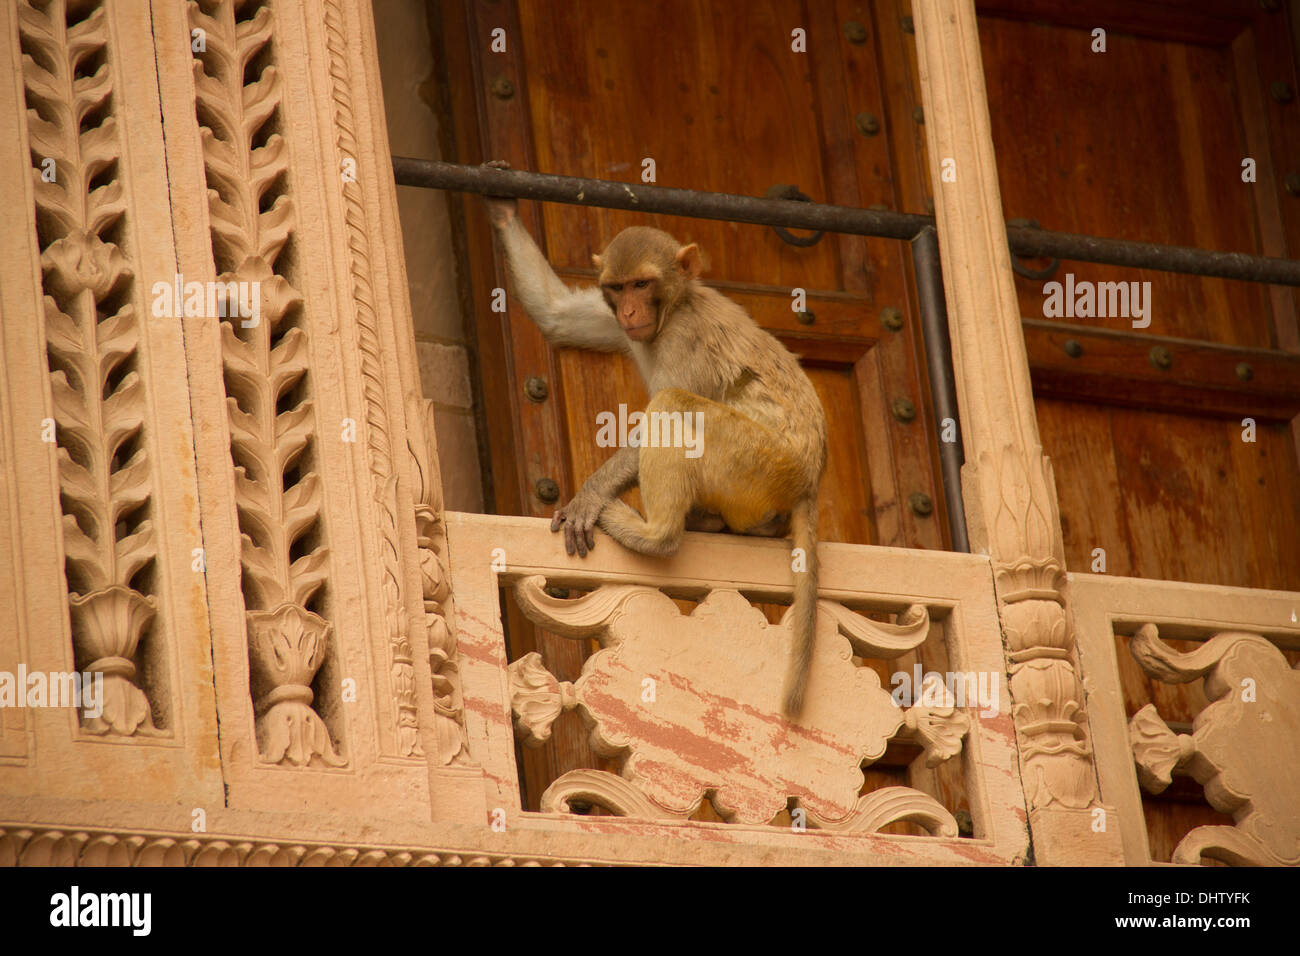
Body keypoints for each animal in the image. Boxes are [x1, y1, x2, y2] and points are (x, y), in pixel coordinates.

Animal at [481, 177, 827, 716]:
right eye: (618, 287)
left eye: (643, 285)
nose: (629, 311)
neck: (674, 308)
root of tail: (809, 479)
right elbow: (558, 317)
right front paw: (501, 205)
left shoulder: (686, 338)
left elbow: (654, 418)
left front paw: (588, 498)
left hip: (759, 461)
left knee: (674, 404)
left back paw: (653, 533)